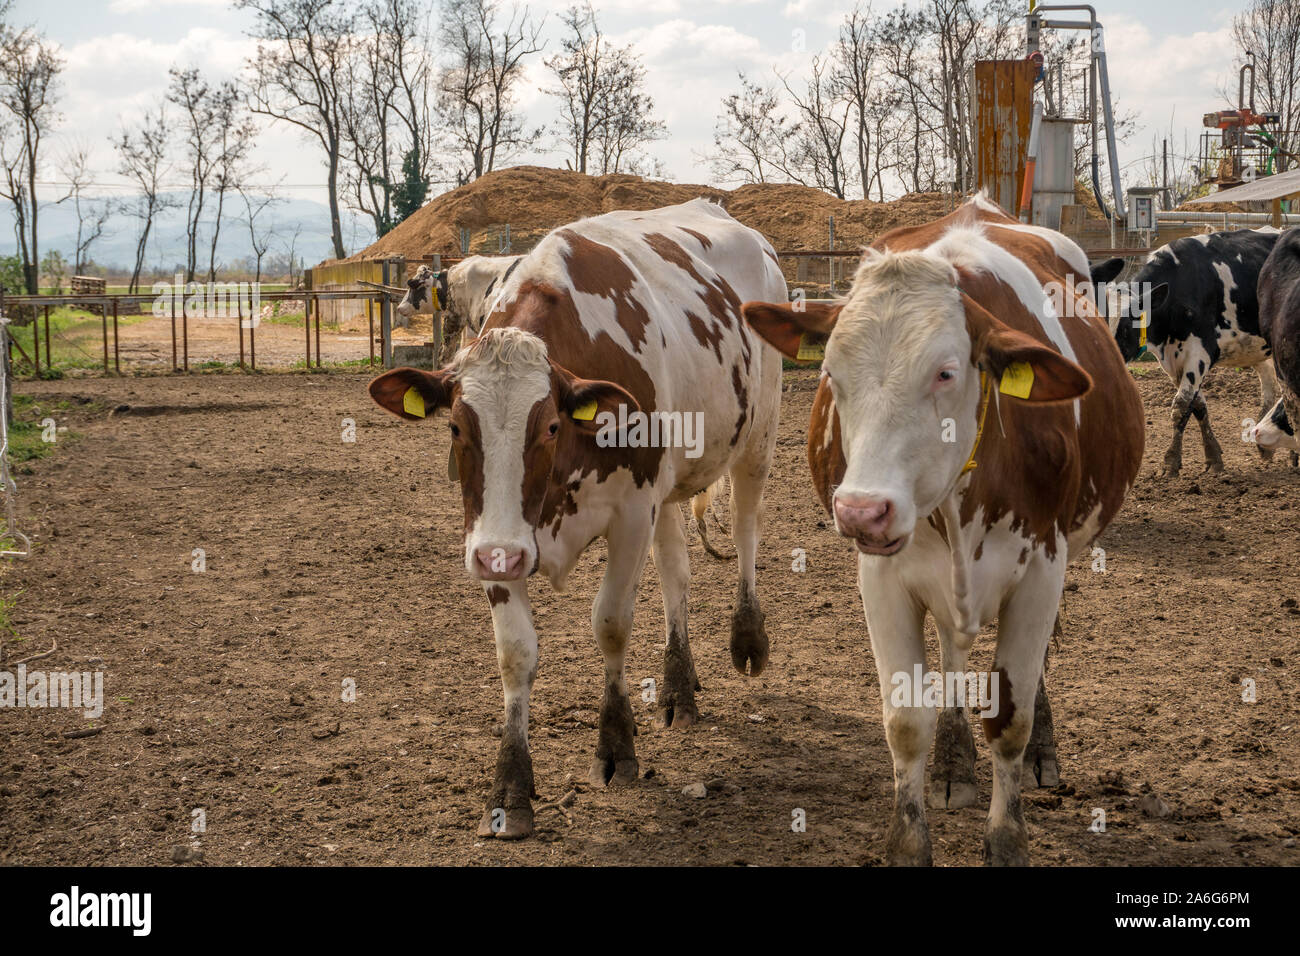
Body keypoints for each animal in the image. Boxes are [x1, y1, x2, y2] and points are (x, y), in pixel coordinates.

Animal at [369, 199, 785, 839]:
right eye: (456, 427)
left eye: (549, 426)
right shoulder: (492, 535)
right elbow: (515, 653)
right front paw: (510, 790)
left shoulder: (633, 511)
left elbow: (611, 623)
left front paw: (616, 749)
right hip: (669, 488)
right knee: (676, 575)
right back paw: (678, 687)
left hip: (758, 436)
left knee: (745, 531)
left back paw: (746, 639)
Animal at [740, 194, 1144, 865]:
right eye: (831, 374)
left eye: (946, 373)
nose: (861, 510)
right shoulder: (882, 576)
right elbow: (906, 722)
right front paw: (911, 837)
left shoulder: (1042, 568)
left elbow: (1011, 717)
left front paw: (1008, 839)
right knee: (954, 656)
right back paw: (955, 765)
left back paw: (1041, 755)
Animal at [1100, 228, 1280, 475]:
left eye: (1128, 325)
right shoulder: (1173, 362)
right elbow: (1198, 406)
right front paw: (1213, 455)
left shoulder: (1200, 352)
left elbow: (1181, 405)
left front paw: (1170, 461)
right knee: (1271, 388)